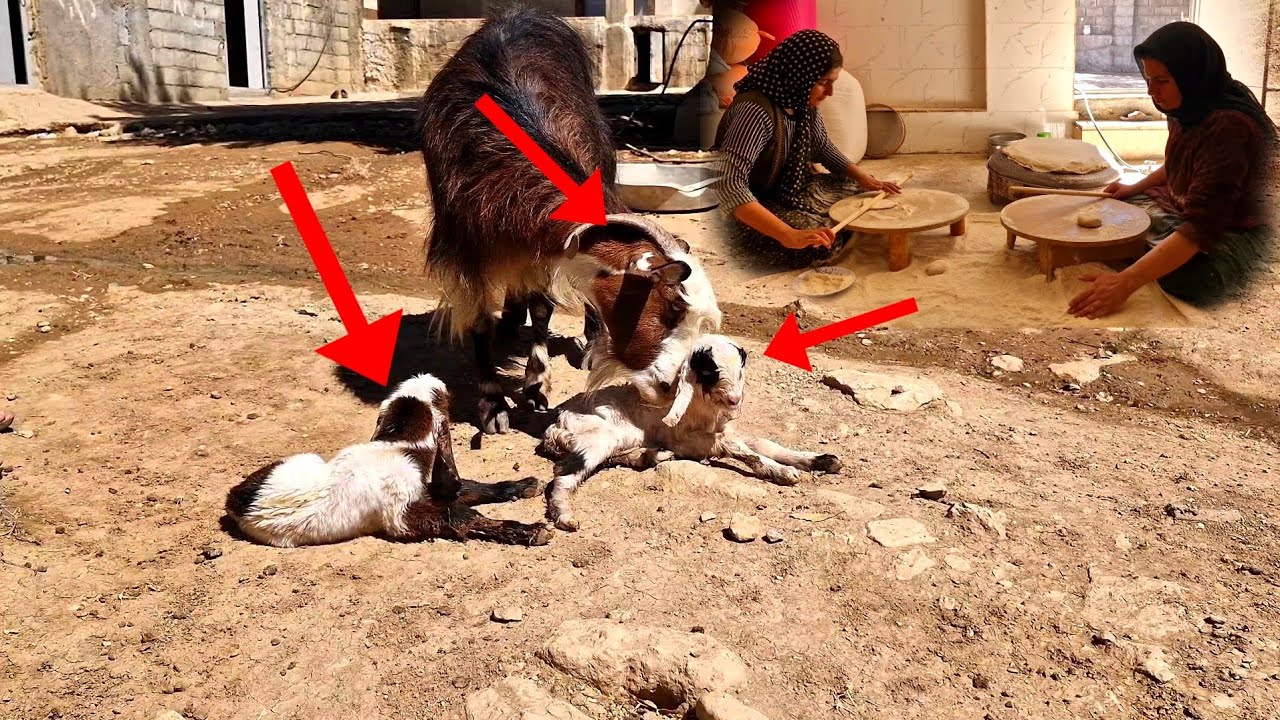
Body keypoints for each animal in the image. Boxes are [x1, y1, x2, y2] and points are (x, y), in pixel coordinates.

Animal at [224, 374, 553, 548]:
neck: (397, 445)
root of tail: (233, 498)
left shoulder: (425, 486)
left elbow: (469, 489)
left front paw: (523, 485)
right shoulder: (403, 516)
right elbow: (461, 515)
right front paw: (530, 531)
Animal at [416, 5, 720, 436]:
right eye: (670, 309)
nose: (667, 390)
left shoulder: (543, 244)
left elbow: (543, 309)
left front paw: (534, 388)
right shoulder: (465, 248)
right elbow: (479, 321)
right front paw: (493, 404)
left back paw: (585, 341)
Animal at [537, 335, 843, 531]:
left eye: (740, 369)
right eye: (709, 372)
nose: (734, 400)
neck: (701, 405)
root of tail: (554, 427)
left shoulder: (719, 428)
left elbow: (765, 443)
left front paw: (822, 460)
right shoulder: (688, 439)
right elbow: (737, 447)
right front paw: (781, 473)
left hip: (620, 439)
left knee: (614, 458)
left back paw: (653, 456)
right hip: (597, 438)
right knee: (563, 475)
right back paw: (564, 516)